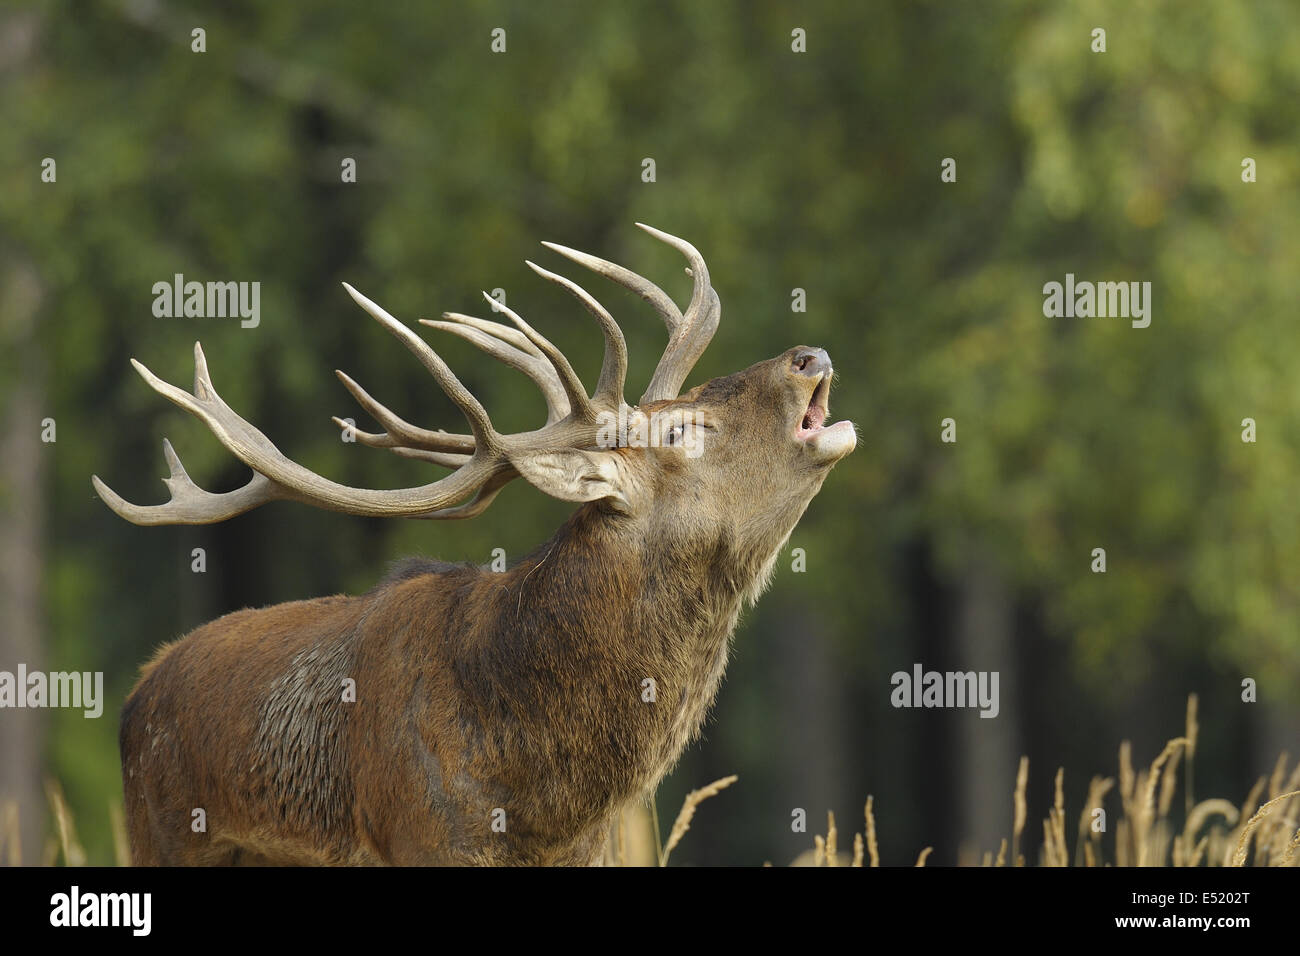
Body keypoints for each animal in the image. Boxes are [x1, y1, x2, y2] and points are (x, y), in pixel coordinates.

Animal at [93, 225, 856, 865]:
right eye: (681, 430)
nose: (807, 355)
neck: (541, 799)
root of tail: (137, 692)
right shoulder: (423, 841)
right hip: (162, 840)